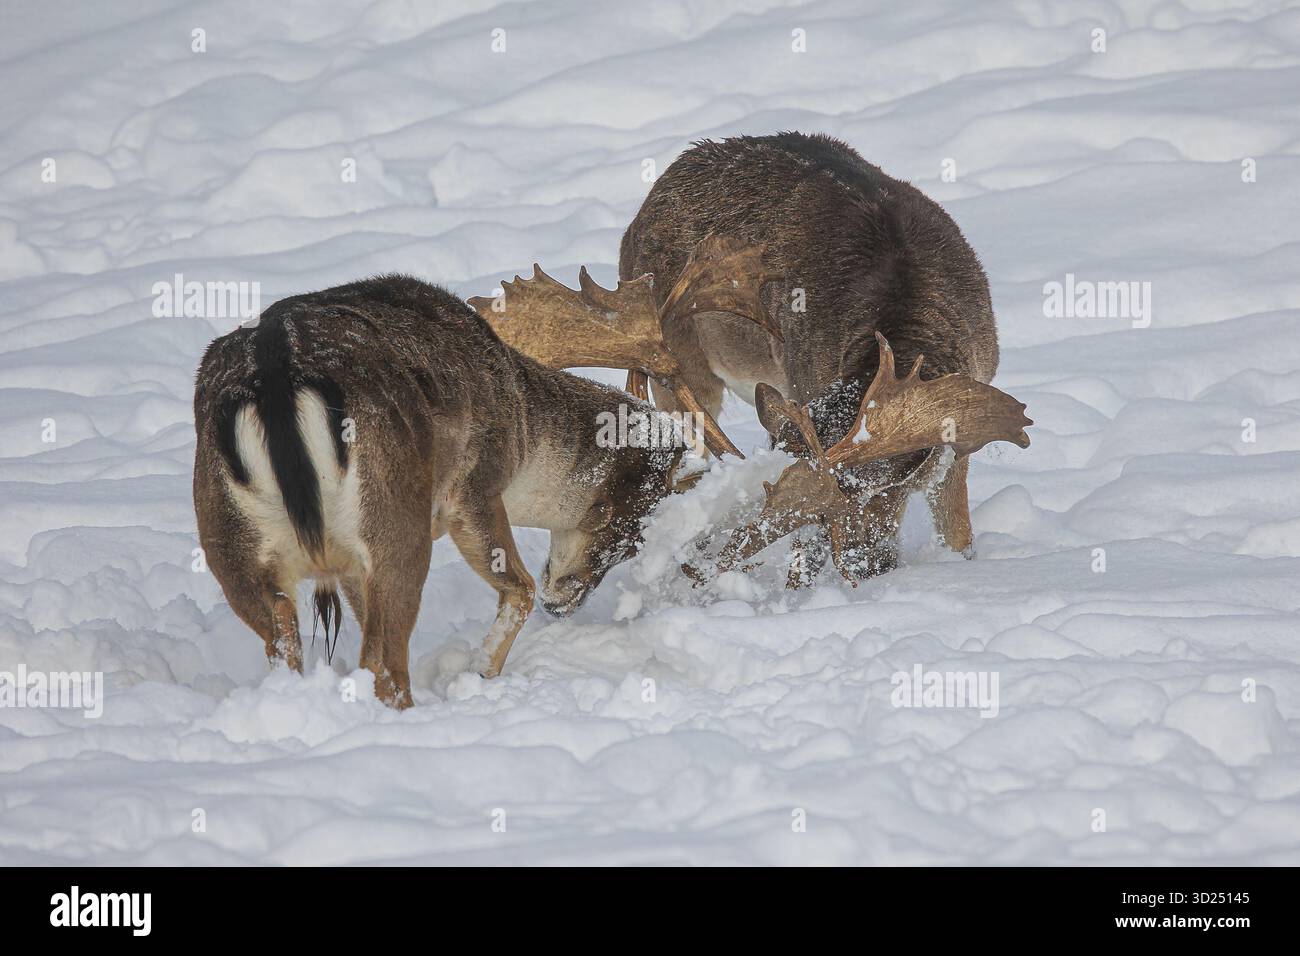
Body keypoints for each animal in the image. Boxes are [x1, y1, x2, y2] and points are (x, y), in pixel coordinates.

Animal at [193, 255, 775, 708]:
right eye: (629, 531)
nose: (564, 601)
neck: (522, 426)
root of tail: (276, 378)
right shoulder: (475, 486)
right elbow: (518, 588)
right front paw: (481, 674)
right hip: (396, 523)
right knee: (383, 663)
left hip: (229, 541)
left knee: (286, 642)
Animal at [611, 131, 1032, 585]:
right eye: (825, 515)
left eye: (885, 489)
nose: (868, 566)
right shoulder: (805, 383)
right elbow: (803, 558)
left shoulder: (965, 427)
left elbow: (960, 538)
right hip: (682, 365)